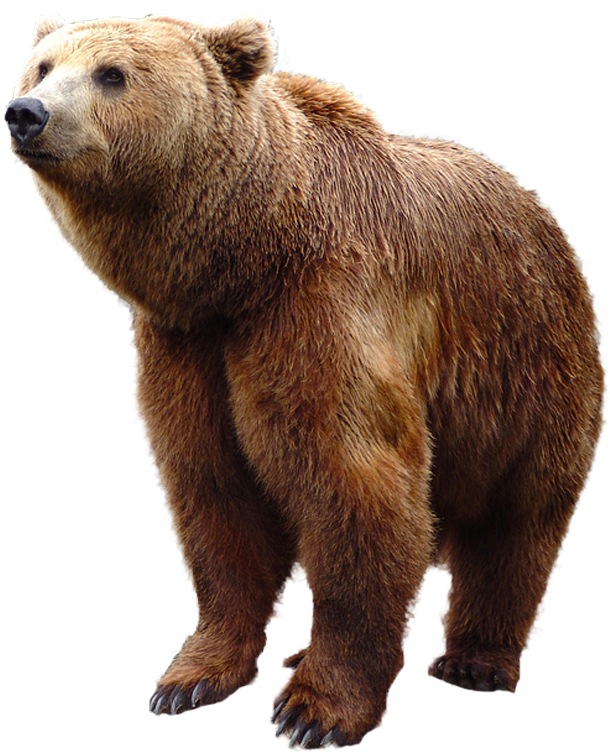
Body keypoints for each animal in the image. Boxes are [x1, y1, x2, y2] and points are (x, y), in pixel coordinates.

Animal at [6, 11, 606, 750]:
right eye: (42, 66)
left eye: (111, 74)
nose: (27, 113)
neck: (241, 260)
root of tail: (541, 210)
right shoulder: (188, 346)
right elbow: (215, 493)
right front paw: (190, 678)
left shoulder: (320, 308)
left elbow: (354, 480)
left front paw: (312, 711)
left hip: (525, 365)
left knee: (515, 519)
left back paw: (476, 659)